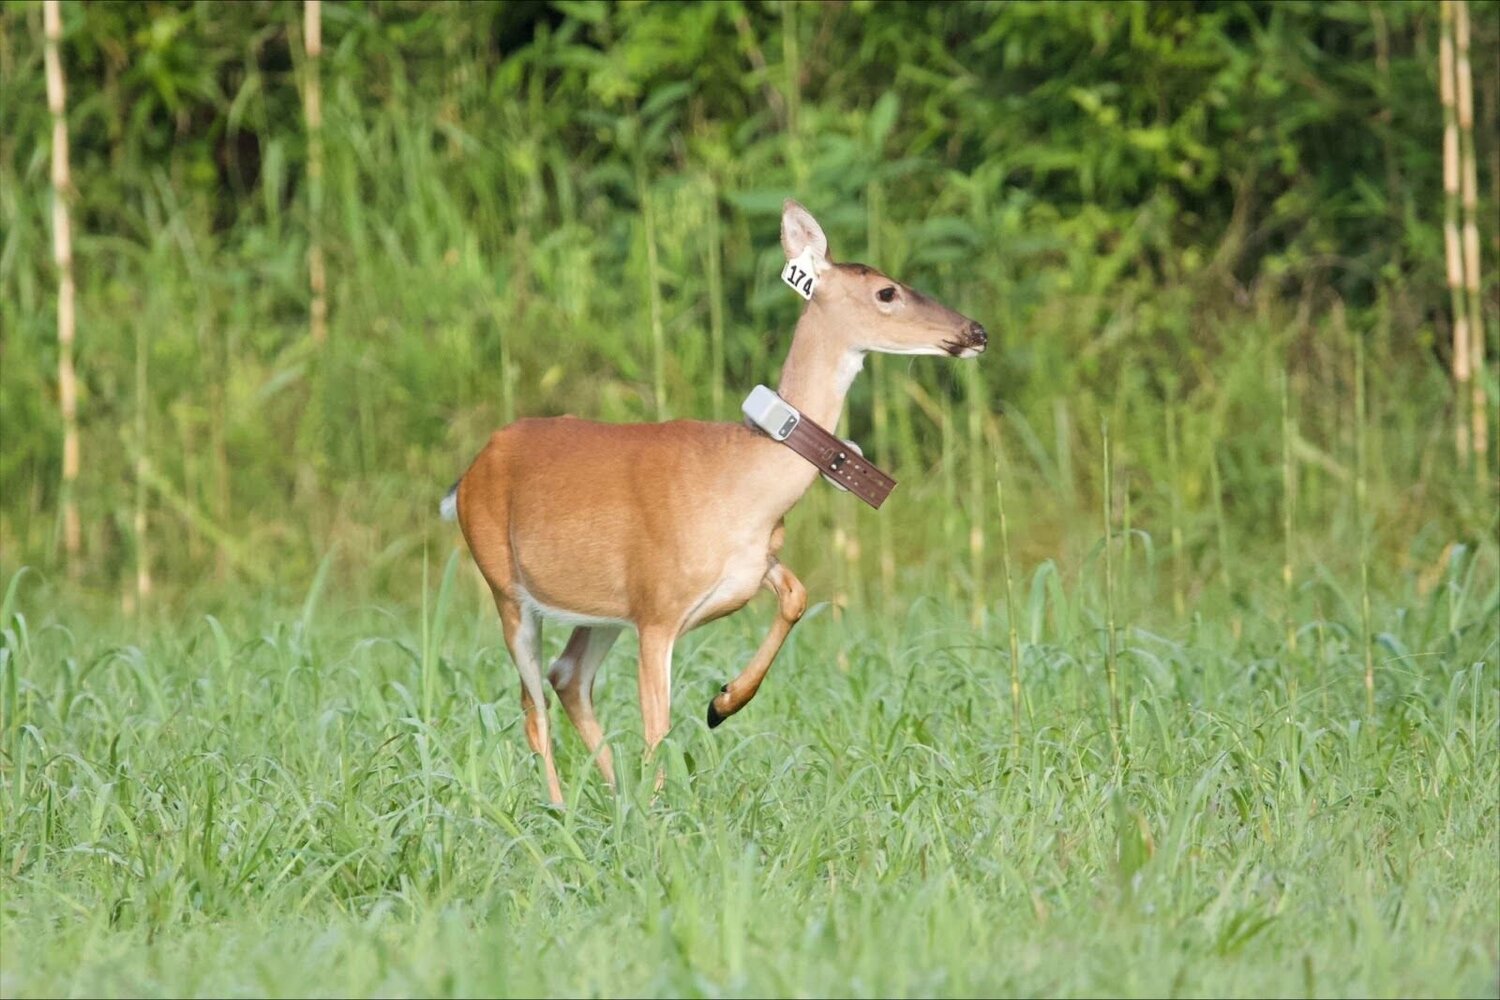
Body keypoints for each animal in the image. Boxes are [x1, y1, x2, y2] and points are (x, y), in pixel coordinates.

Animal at [441, 200, 987, 805]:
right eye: (887, 292)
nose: (977, 330)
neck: (744, 481)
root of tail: (466, 476)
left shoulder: (747, 564)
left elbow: (797, 596)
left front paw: (722, 704)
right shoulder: (657, 607)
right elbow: (657, 724)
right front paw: (663, 806)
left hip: (601, 607)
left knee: (568, 676)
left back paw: (616, 795)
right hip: (506, 587)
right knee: (533, 704)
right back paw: (564, 811)